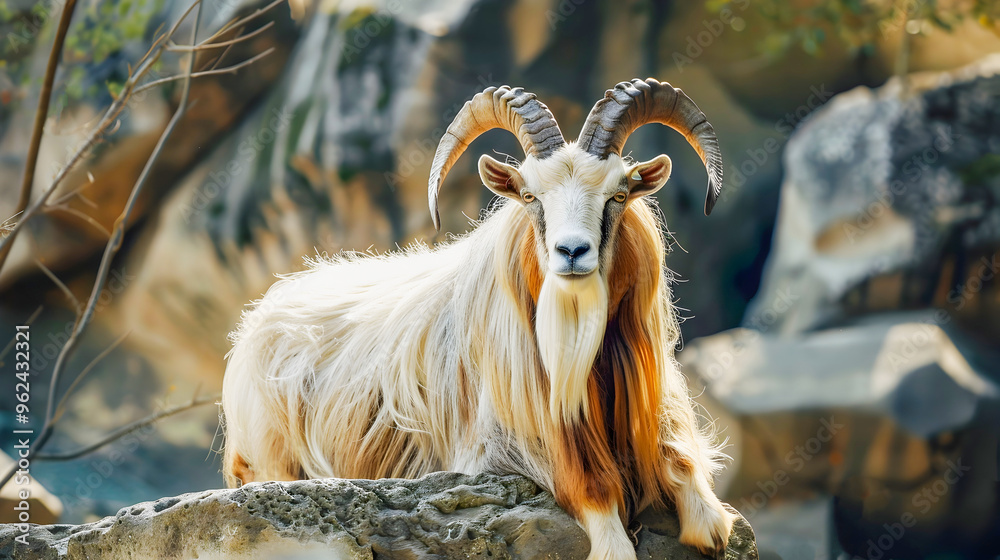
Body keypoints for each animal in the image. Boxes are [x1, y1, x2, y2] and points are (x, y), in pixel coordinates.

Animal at [222, 78, 734, 560]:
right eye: (529, 195)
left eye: (619, 194)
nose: (571, 252)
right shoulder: (504, 448)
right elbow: (587, 484)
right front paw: (615, 545)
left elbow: (681, 458)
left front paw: (709, 526)